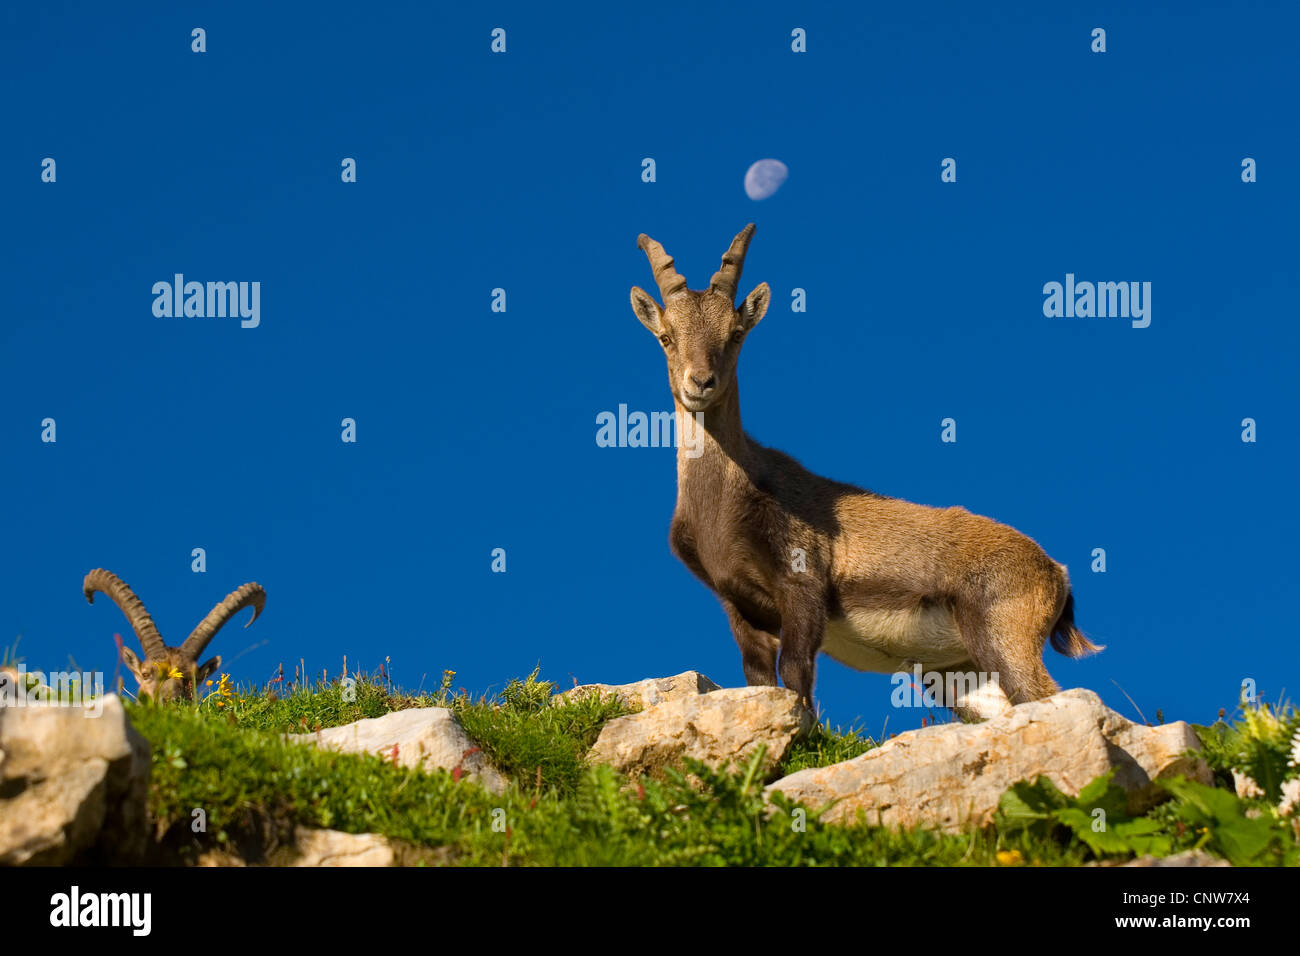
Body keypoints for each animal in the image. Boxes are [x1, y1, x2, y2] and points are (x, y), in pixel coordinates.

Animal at [629, 224, 1101, 719]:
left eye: (736, 333)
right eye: (665, 337)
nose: (701, 383)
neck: (723, 504)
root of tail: (1057, 573)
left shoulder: (803, 585)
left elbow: (796, 671)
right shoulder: (740, 606)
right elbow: (759, 679)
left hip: (1004, 633)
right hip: (959, 670)